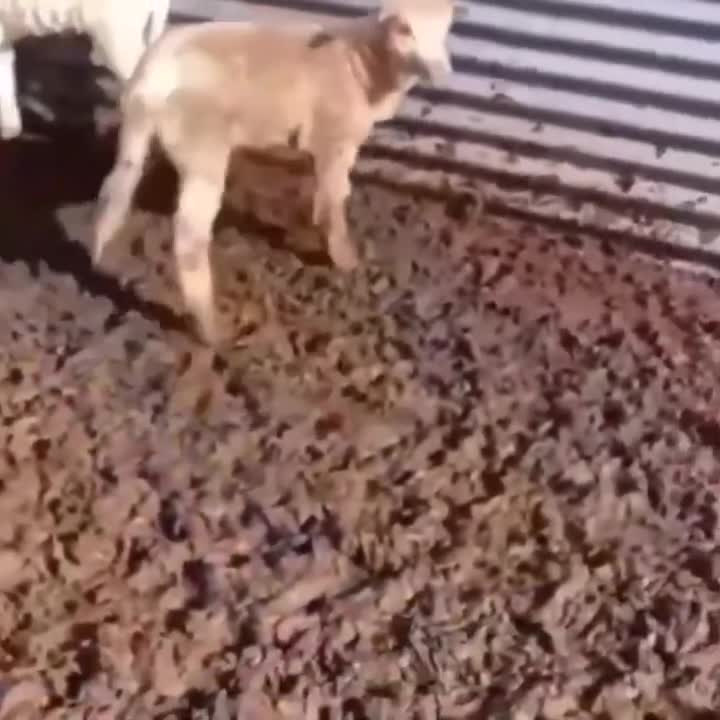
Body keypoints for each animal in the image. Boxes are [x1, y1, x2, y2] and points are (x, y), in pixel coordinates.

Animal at [93, 0, 456, 345]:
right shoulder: (333, 137)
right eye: (404, 28)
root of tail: (148, 76)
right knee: (189, 236)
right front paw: (344, 258)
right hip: (202, 145)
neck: (363, 63)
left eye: (446, 29)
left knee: (114, 188)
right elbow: (335, 196)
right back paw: (211, 329)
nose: (442, 72)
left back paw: (100, 253)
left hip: (143, 138)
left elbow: (325, 194)